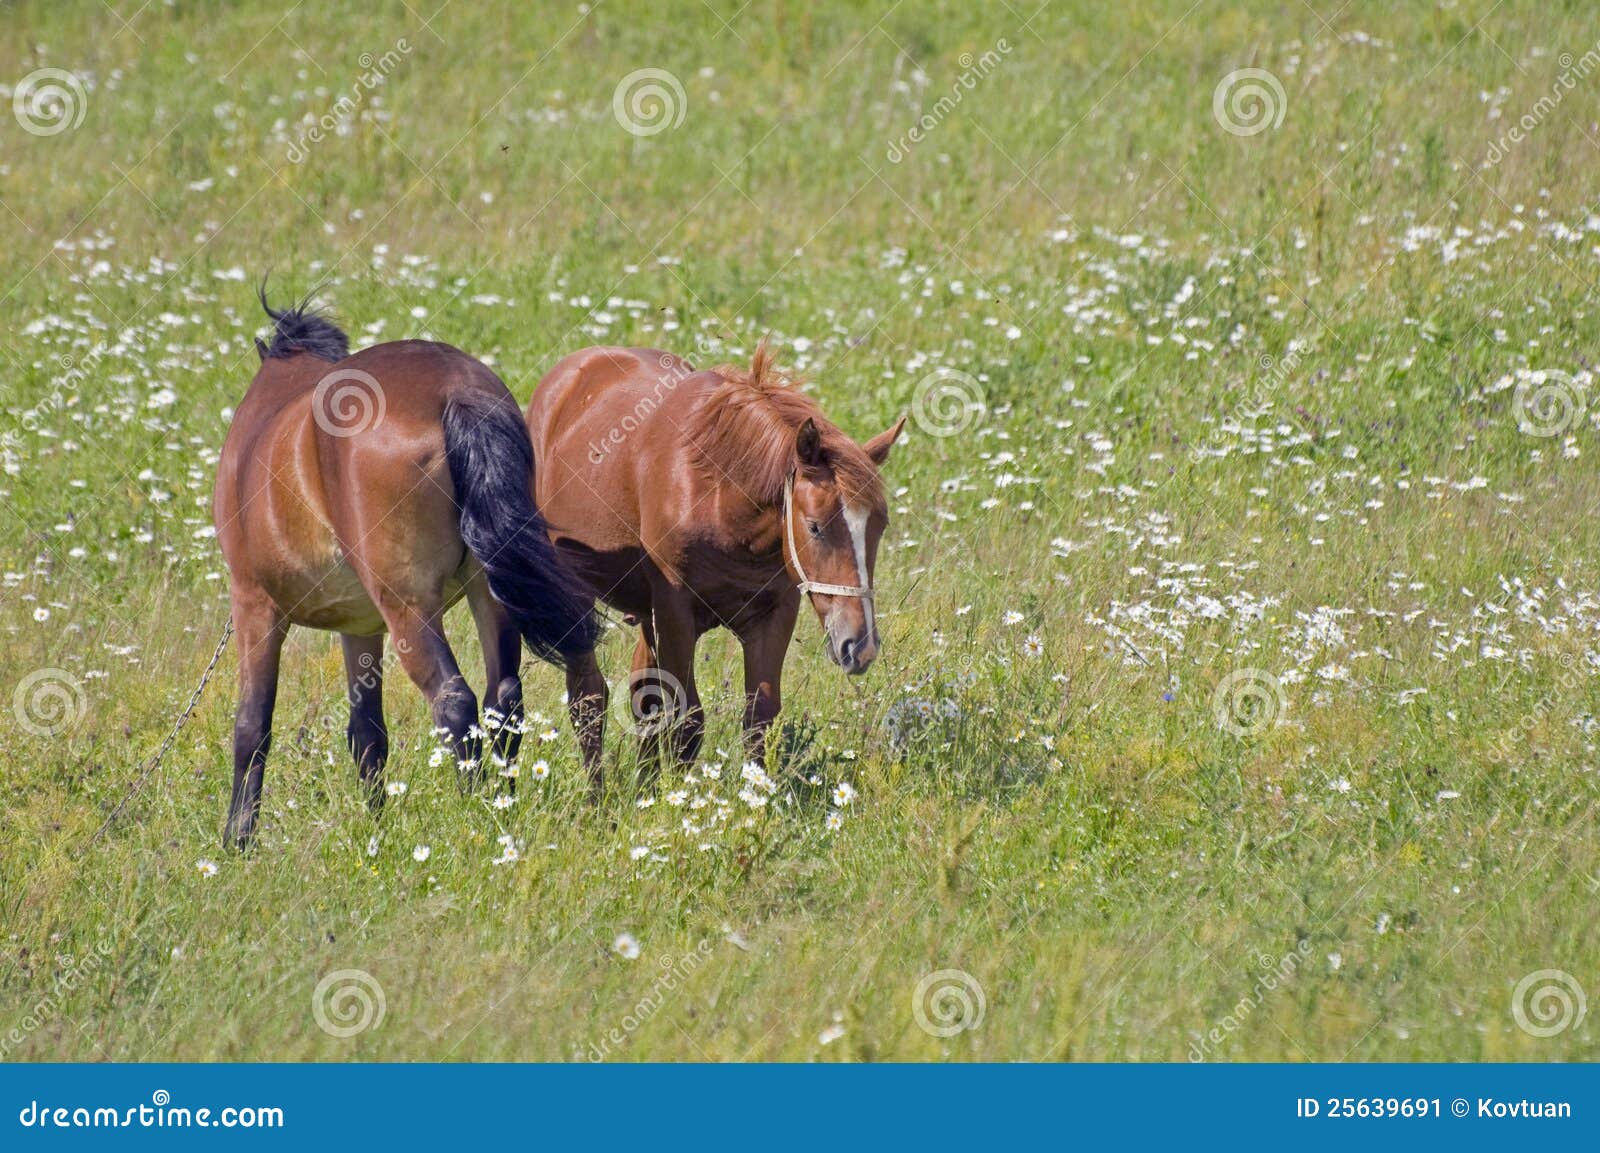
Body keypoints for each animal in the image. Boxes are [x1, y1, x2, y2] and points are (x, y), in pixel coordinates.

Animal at [211, 290, 597, 845]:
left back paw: (476, 813)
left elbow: (252, 725)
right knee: (503, 700)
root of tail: (454, 389)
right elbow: (367, 732)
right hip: (488, 594)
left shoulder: (254, 605)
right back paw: (501, 807)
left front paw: (238, 839)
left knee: (456, 702)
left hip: (408, 609)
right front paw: (375, 827)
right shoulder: (360, 626)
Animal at [523, 340, 903, 790]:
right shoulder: (674, 613)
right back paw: (597, 795)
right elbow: (687, 721)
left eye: (880, 526)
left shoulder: (774, 614)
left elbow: (759, 720)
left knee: (642, 696)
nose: (859, 645)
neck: (720, 494)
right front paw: (677, 799)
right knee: (589, 698)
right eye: (814, 526)